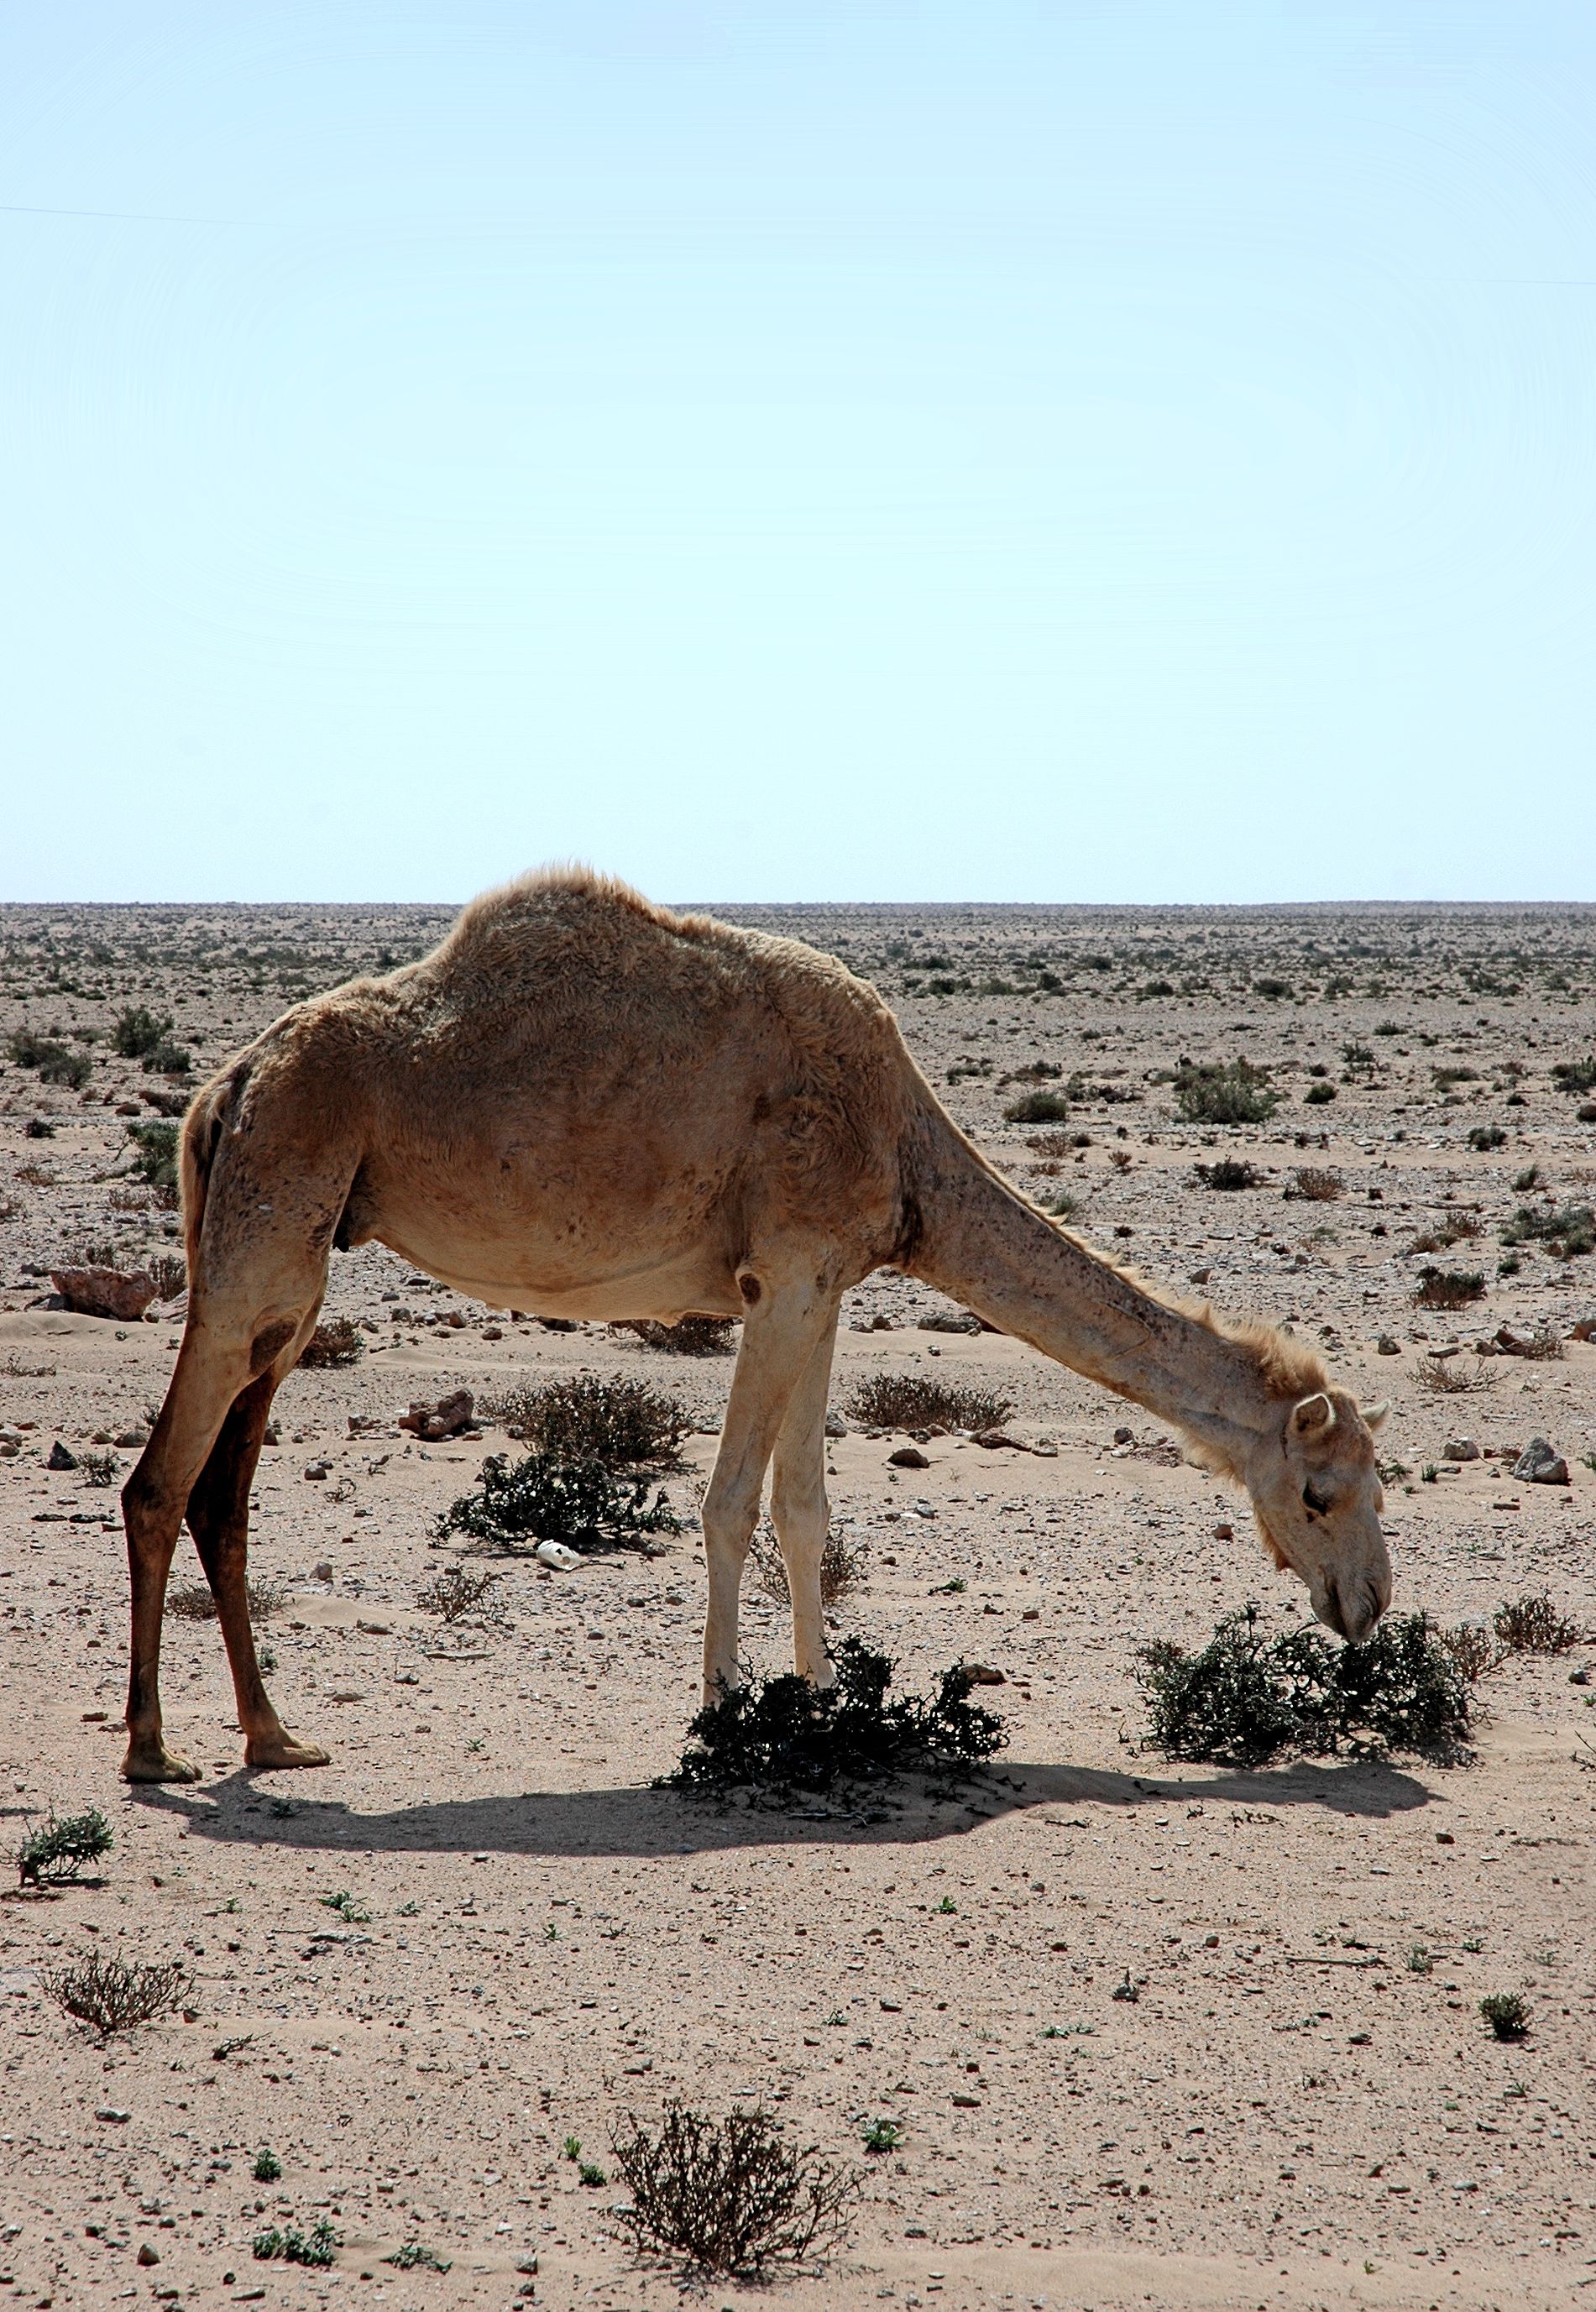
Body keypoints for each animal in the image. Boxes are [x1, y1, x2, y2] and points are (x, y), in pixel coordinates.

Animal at [119, 869, 1393, 1783]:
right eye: (1320, 1494)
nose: (1368, 1607)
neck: (906, 1144)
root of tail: (226, 1083)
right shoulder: (782, 1268)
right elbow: (729, 1498)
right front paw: (726, 1715)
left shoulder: (821, 1281)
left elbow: (801, 1504)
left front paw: (826, 1704)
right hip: (276, 1203)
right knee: (160, 1479)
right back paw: (152, 1749)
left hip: (294, 1249)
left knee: (225, 1487)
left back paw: (274, 1737)